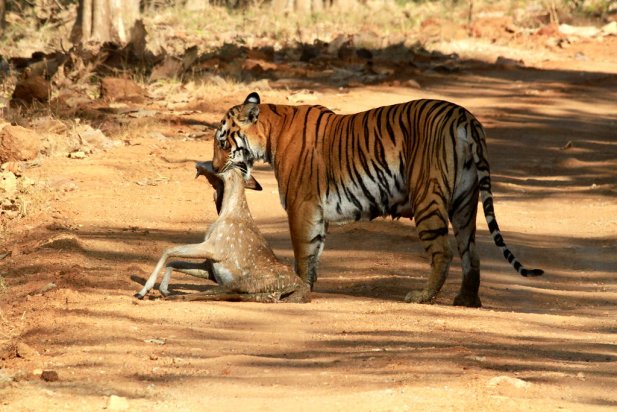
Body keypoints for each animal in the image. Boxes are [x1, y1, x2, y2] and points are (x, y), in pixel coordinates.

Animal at [134, 162, 308, 302]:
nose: (198, 165)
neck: (226, 211)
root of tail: (302, 290)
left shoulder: (213, 248)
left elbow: (169, 250)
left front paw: (143, 291)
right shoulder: (209, 266)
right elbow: (173, 262)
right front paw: (163, 290)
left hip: (243, 283)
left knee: (209, 293)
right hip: (249, 292)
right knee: (217, 294)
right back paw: (169, 295)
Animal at [209, 92, 540, 306]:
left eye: (223, 143)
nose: (213, 167)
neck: (271, 132)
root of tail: (465, 117)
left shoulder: (301, 206)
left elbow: (303, 253)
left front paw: (298, 291)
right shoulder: (316, 213)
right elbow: (314, 253)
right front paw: (307, 287)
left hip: (428, 196)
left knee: (443, 252)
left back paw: (423, 297)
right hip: (465, 203)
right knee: (472, 253)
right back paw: (466, 300)